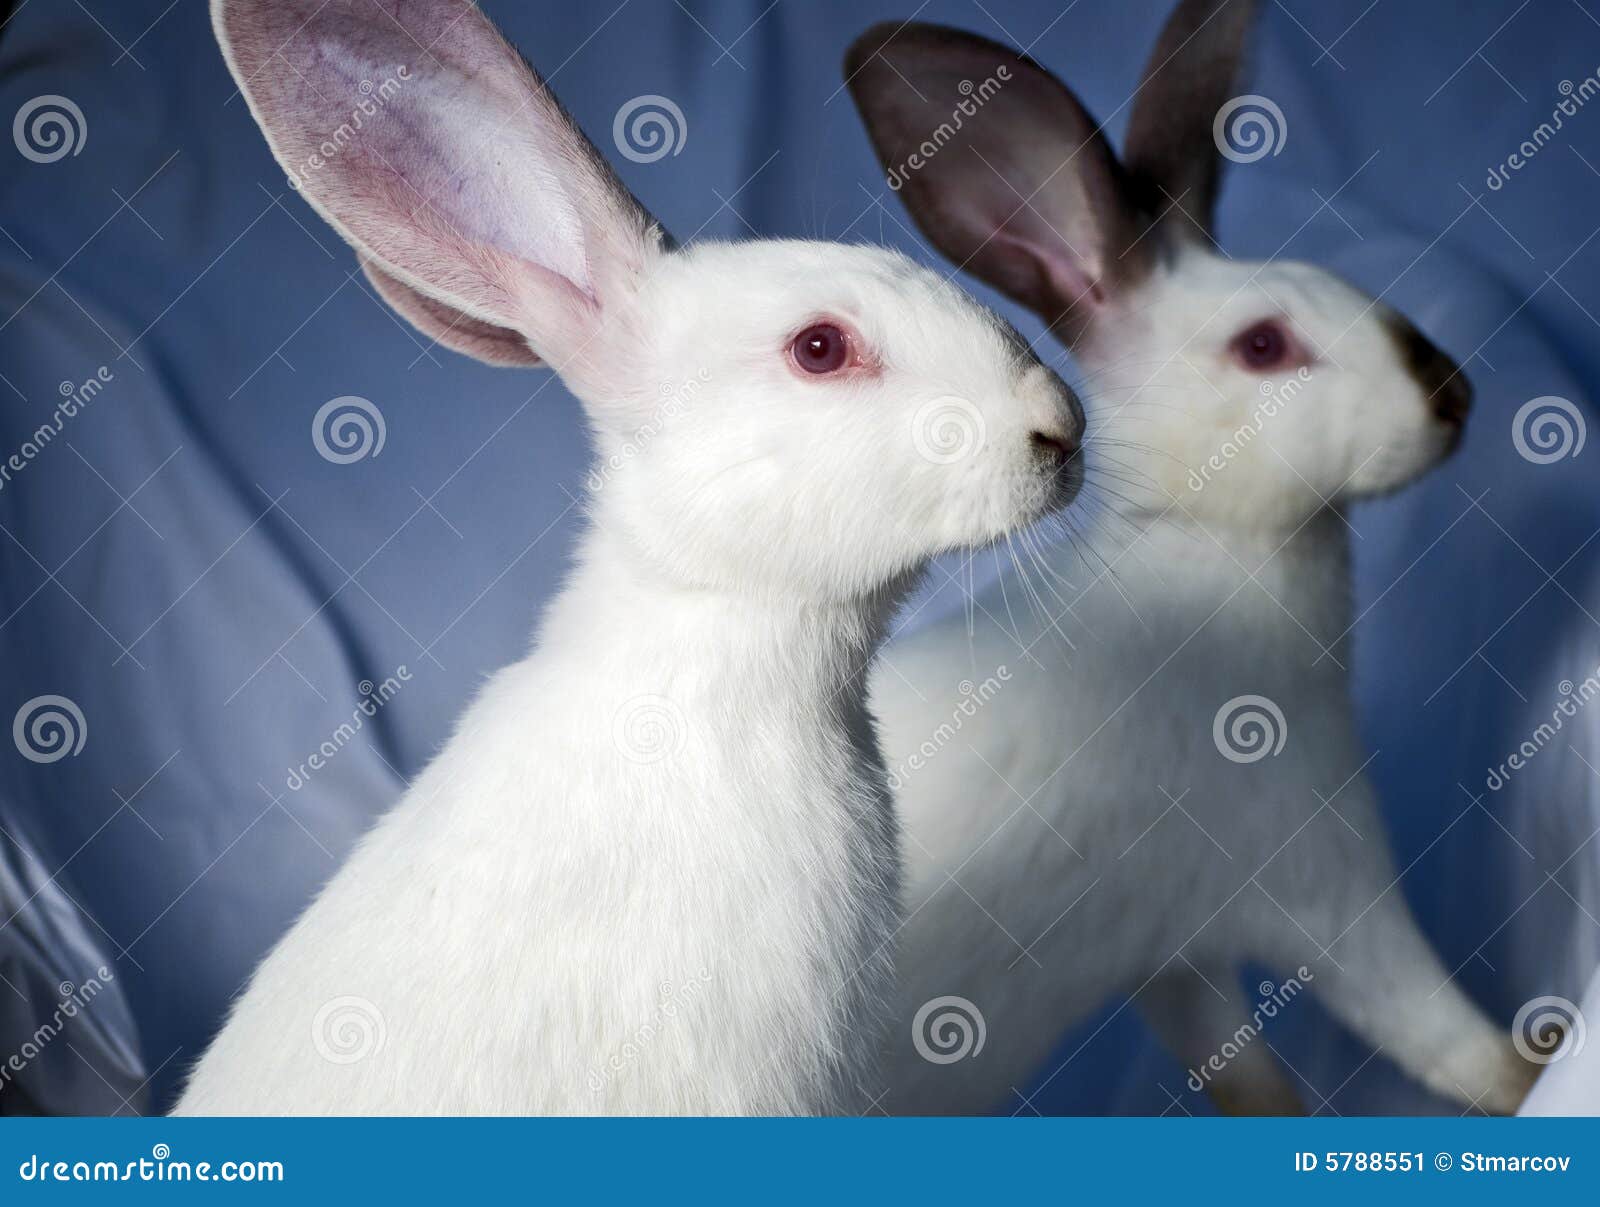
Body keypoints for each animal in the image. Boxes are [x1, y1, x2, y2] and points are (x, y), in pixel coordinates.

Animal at [845, 0, 1539, 1115]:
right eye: (1263, 347)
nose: (1455, 397)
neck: (1200, 534)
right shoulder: (1322, 874)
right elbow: (1435, 1029)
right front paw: (1537, 1066)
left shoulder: (1175, 961)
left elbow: (1241, 1069)